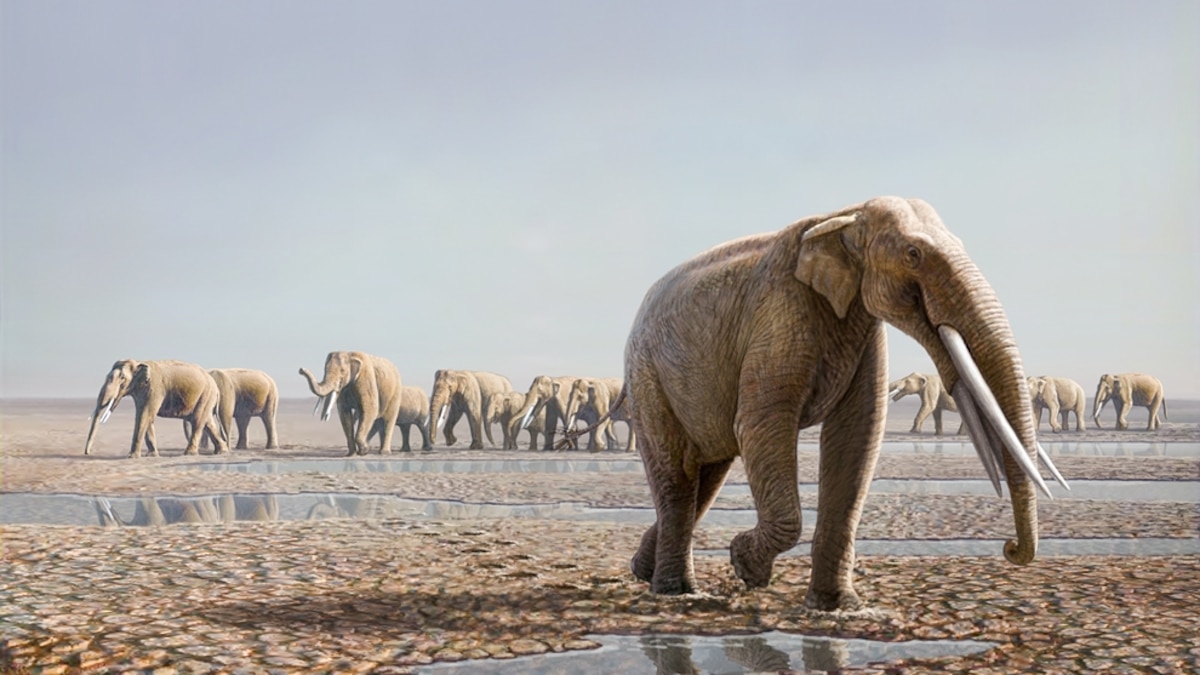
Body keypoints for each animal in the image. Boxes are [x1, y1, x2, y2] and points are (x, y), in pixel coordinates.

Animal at [84, 359, 229, 458]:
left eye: (122, 378)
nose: (88, 453)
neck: (139, 362)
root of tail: (216, 388)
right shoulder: (141, 392)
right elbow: (144, 415)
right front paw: (151, 455)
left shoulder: (155, 389)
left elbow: (145, 415)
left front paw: (131, 457)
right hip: (205, 398)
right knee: (207, 422)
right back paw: (221, 451)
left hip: (206, 395)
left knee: (198, 420)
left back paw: (189, 454)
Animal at [623, 196, 1067, 611]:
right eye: (913, 254)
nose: (1010, 548)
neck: (845, 215)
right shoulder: (780, 313)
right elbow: (760, 424)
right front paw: (746, 567)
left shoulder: (862, 327)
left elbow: (857, 434)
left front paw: (837, 607)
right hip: (646, 376)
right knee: (678, 475)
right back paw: (676, 593)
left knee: (707, 474)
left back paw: (643, 571)